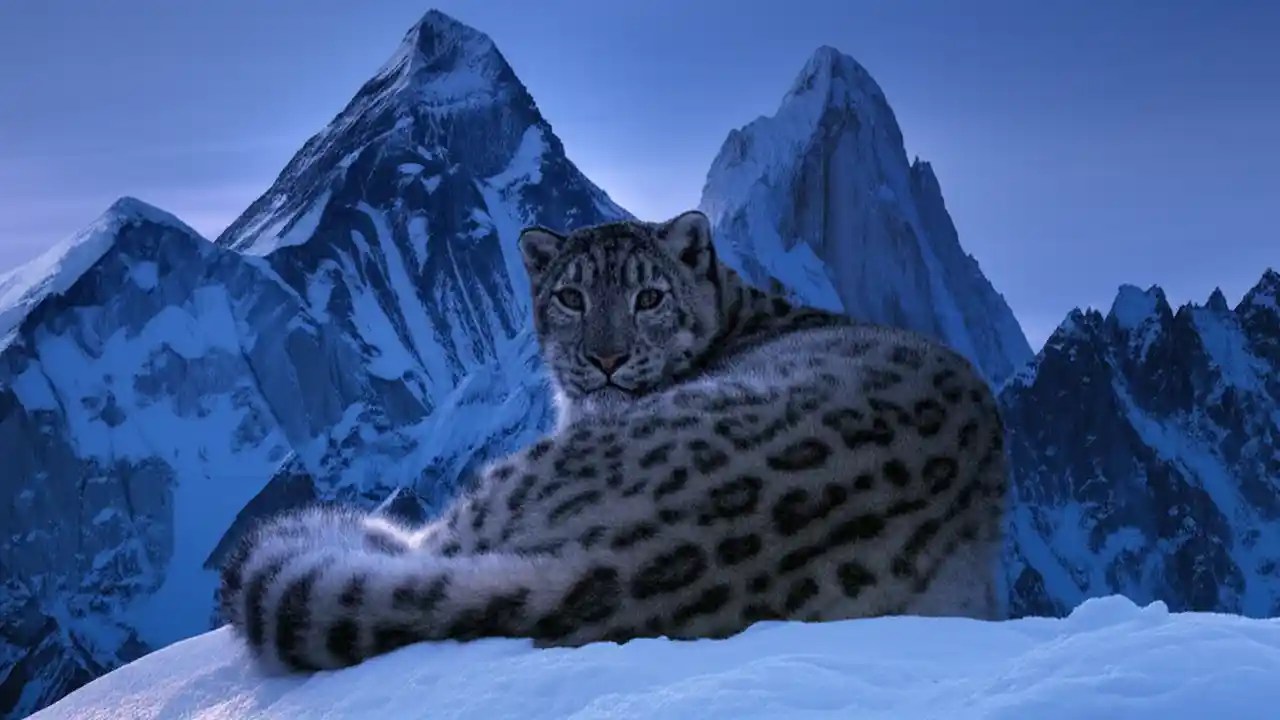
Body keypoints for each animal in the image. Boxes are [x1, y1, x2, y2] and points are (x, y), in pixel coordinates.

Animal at [218, 209, 1009, 672]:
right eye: (570, 296)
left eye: (649, 296)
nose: (604, 358)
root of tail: (643, 561)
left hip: (501, 487)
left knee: (423, 548)